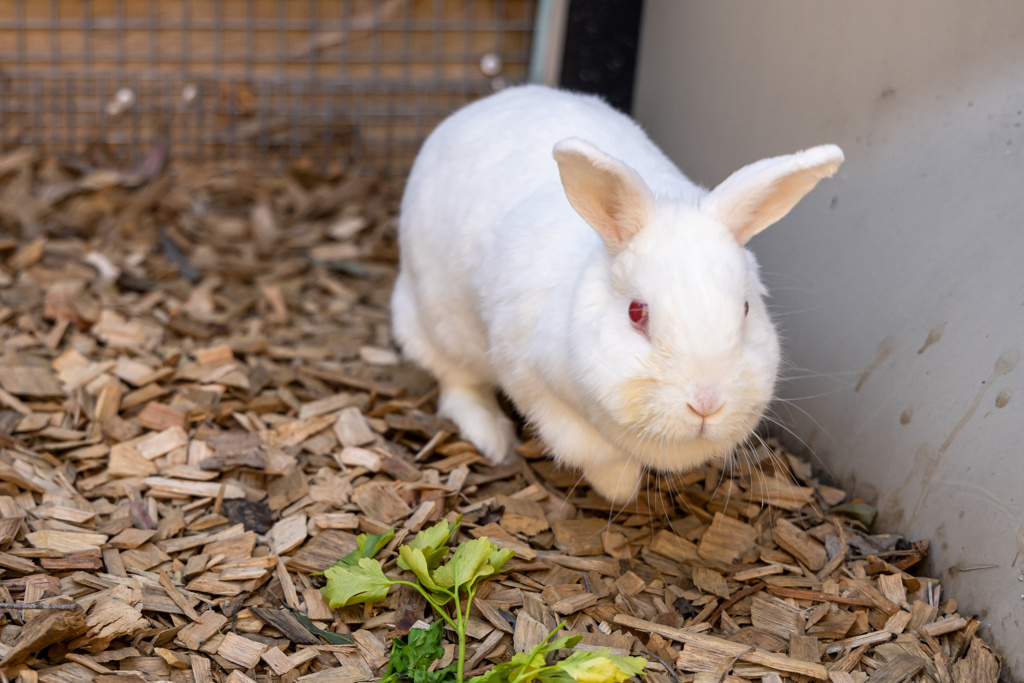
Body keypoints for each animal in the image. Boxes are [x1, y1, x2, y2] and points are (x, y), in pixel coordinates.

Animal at [391, 84, 843, 504]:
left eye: (747, 309)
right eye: (636, 313)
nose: (706, 403)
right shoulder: (530, 380)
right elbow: (597, 454)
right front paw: (621, 491)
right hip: (441, 323)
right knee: (458, 381)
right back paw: (492, 438)